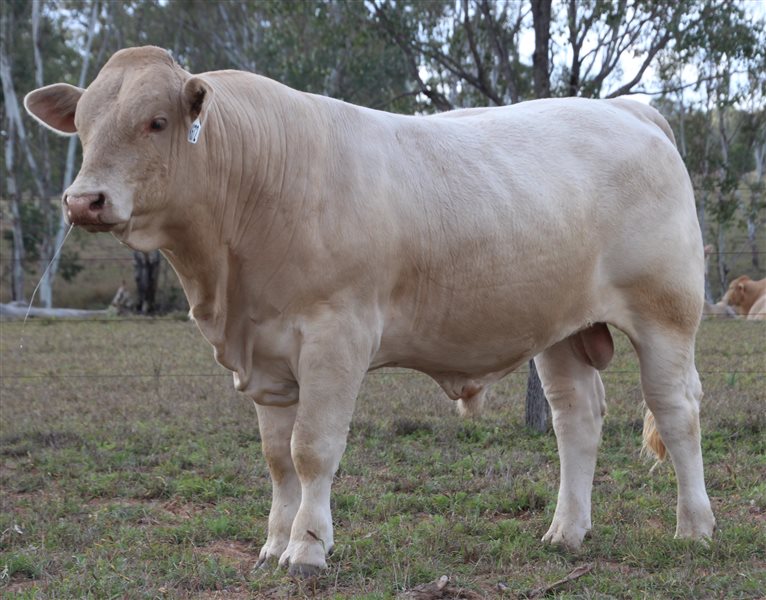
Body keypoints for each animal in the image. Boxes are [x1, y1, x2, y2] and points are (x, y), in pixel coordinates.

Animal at [24, 46, 715, 576]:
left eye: (157, 121)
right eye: (83, 124)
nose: (84, 200)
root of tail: (627, 110)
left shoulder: (337, 336)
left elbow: (313, 449)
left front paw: (307, 550)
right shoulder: (267, 358)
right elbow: (277, 457)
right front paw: (272, 544)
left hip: (666, 314)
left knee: (676, 413)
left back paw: (695, 528)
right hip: (562, 330)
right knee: (577, 420)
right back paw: (566, 532)